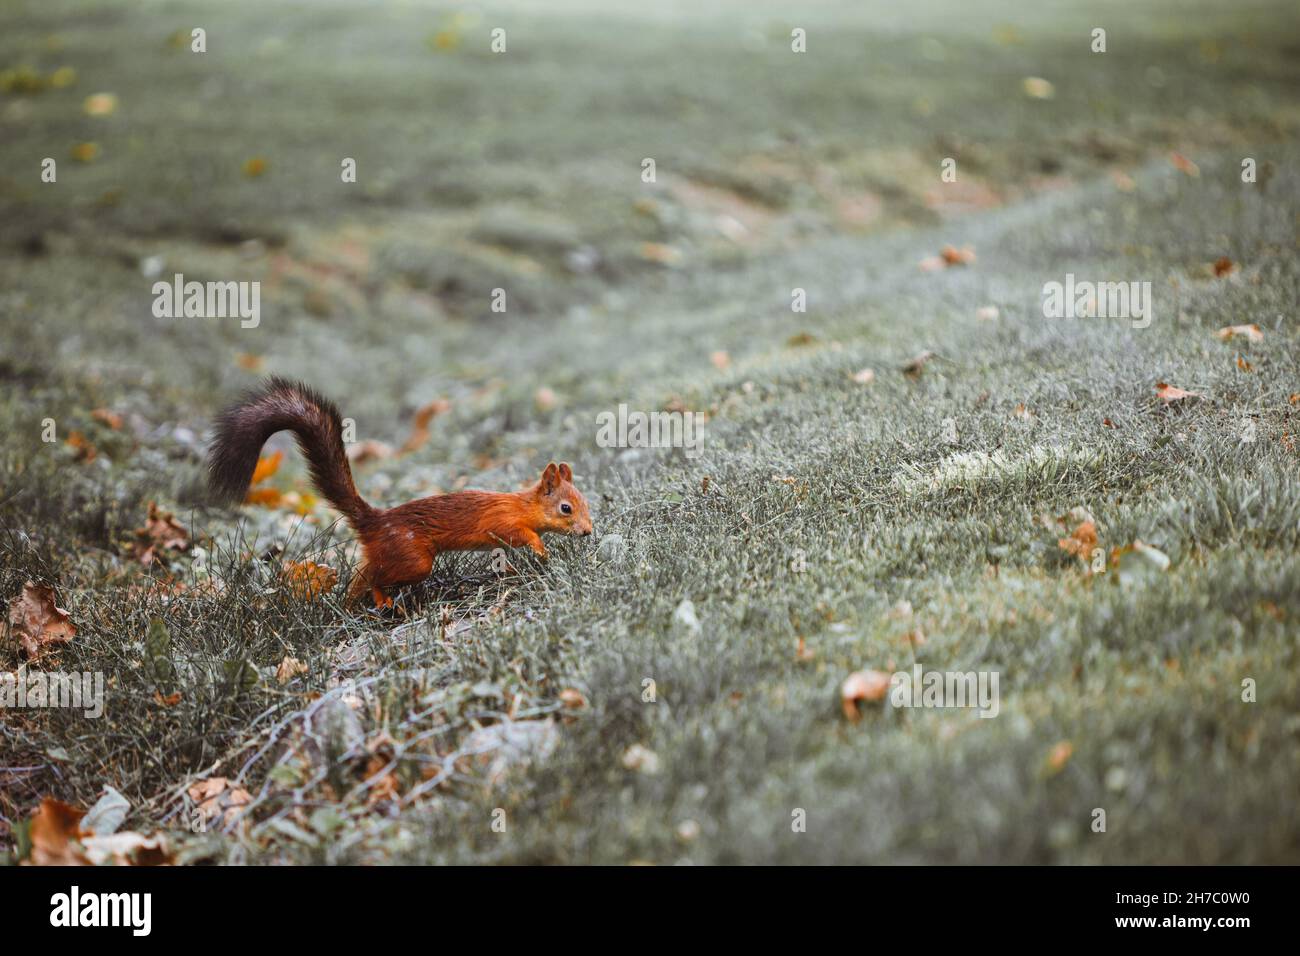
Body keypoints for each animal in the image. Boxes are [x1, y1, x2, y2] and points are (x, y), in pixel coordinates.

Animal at [206, 377, 593, 608]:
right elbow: (521, 534)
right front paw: (541, 548)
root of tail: (373, 522)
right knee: (376, 576)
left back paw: (357, 603)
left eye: (586, 503)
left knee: (363, 574)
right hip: (414, 559)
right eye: (565, 508)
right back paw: (380, 600)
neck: (524, 504)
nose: (588, 531)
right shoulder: (503, 521)